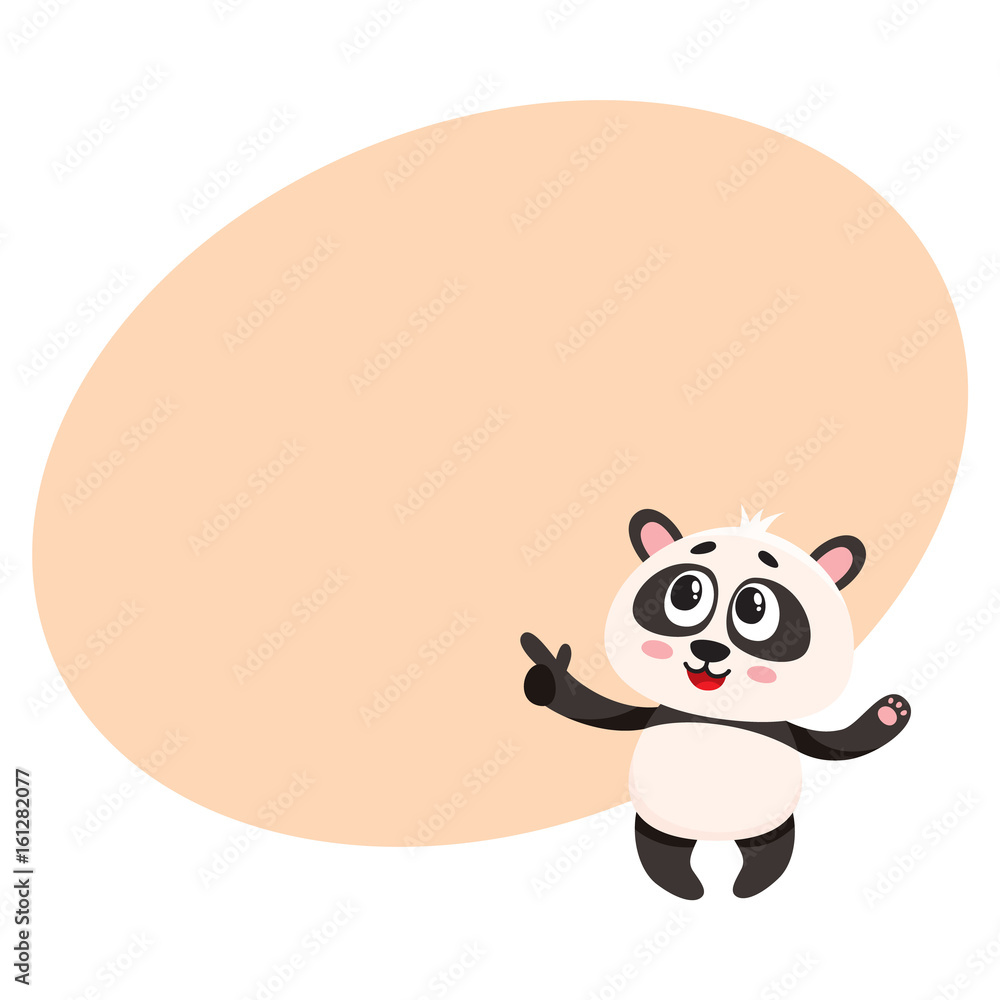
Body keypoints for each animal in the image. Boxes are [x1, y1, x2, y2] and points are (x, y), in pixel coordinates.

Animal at [522, 507, 911, 898]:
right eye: (685, 594)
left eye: (755, 607)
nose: (709, 648)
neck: (716, 713)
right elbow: (603, 713)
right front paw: (548, 675)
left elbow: (830, 745)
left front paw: (889, 713)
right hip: (658, 818)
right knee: (660, 844)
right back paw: (685, 885)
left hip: (770, 820)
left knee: (770, 844)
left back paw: (747, 884)